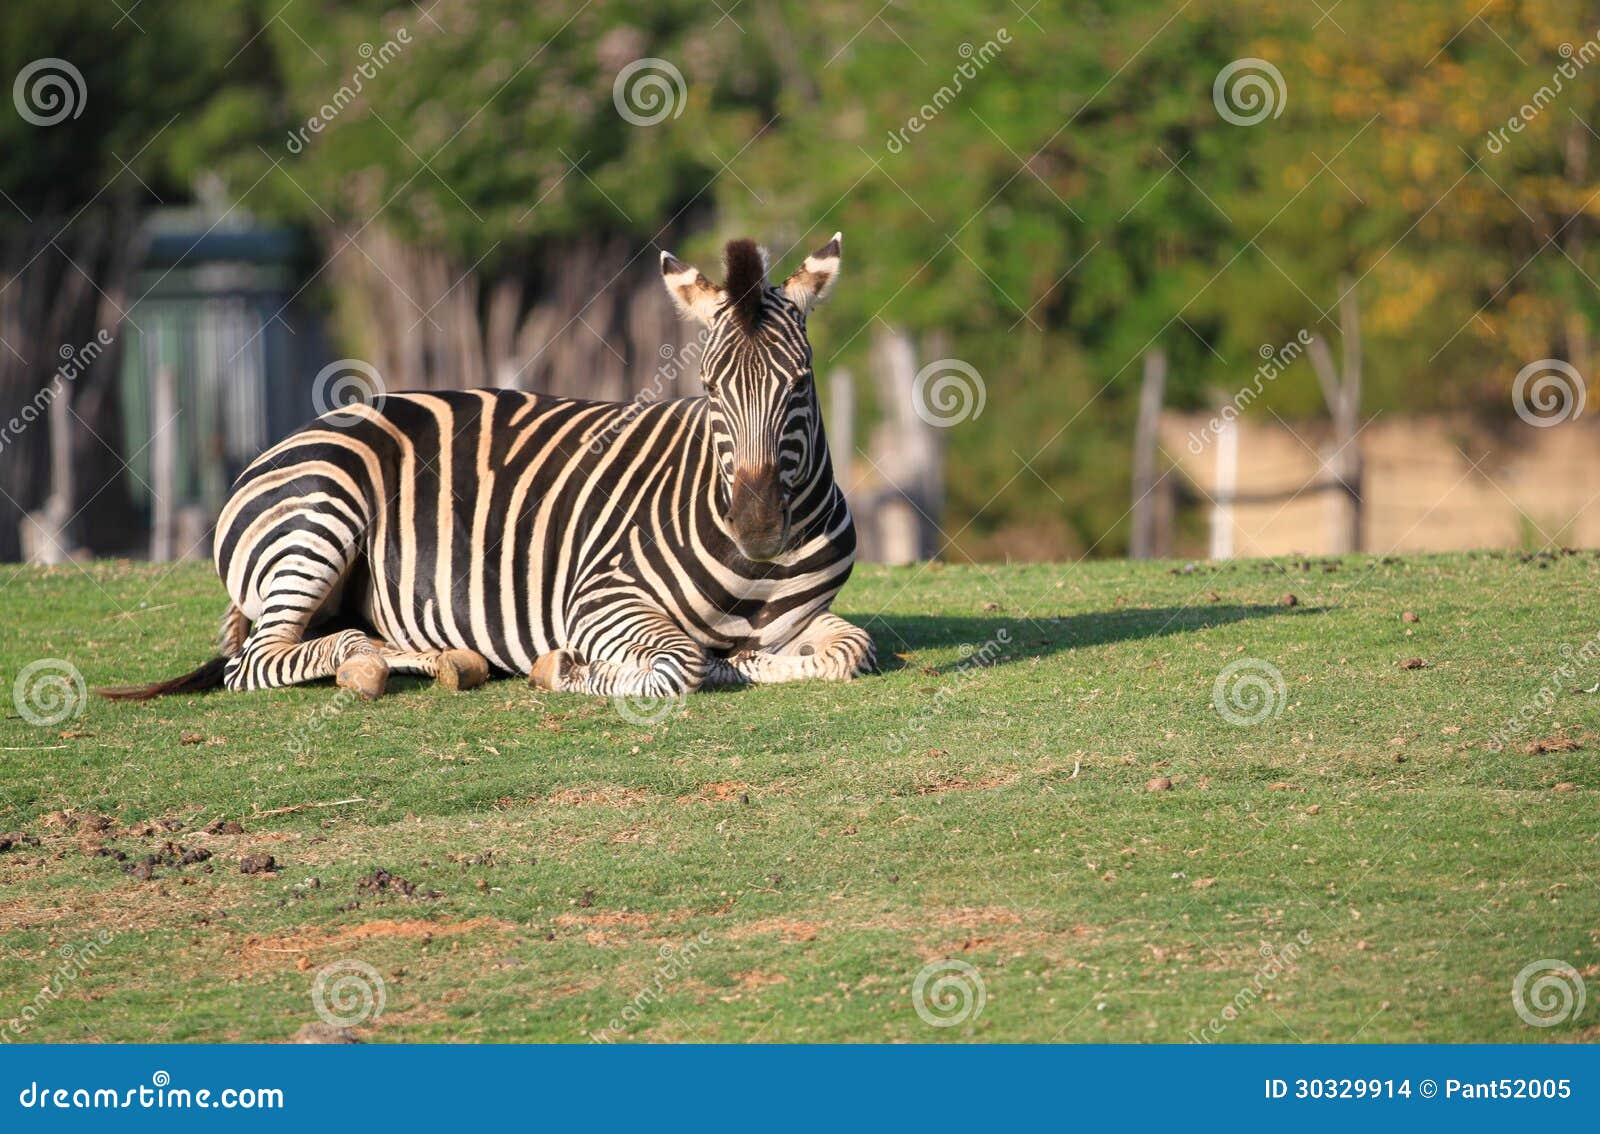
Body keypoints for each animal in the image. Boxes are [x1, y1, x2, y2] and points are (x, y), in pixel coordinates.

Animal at [101, 234, 875, 705]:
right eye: (712, 390)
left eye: (800, 385)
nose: (758, 528)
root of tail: (307, 426)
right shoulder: (599, 598)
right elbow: (677, 664)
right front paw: (568, 667)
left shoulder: (809, 619)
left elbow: (851, 651)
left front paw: (745, 661)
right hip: (320, 515)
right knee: (258, 659)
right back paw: (365, 661)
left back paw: (437, 657)